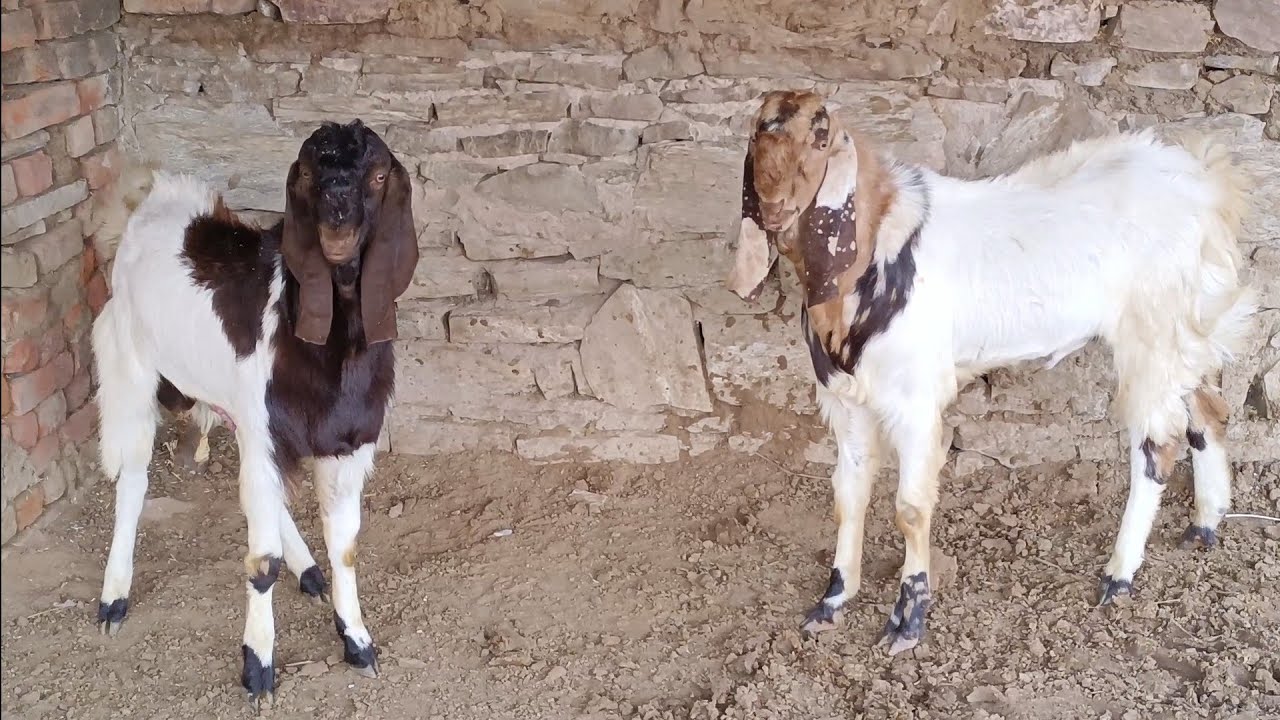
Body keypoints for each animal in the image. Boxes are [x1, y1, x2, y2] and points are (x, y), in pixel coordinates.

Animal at [92, 119, 419, 707]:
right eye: (308, 171)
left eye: (380, 174)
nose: (337, 216)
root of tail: (148, 191)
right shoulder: (266, 432)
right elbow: (261, 564)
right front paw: (258, 667)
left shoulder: (347, 445)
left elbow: (346, 548)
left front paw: (356, 640)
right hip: (131, 367)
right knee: (132, 478)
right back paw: (114, 599)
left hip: (233, 407)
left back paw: (308, 570)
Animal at [728, 90, 1255, 654]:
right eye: (759, 131)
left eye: (821, 135)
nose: (773, 206)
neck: (878, 247)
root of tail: (1207, 179)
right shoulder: (846, 400)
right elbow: (848, 496)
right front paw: (832, 601)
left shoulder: (916, 399)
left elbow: (910, 508)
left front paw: (908, 622)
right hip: (1186, 332)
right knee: (1208, 411)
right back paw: (1206, 523)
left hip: (1153, 334)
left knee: (1157, 447)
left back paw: (1119, 575)